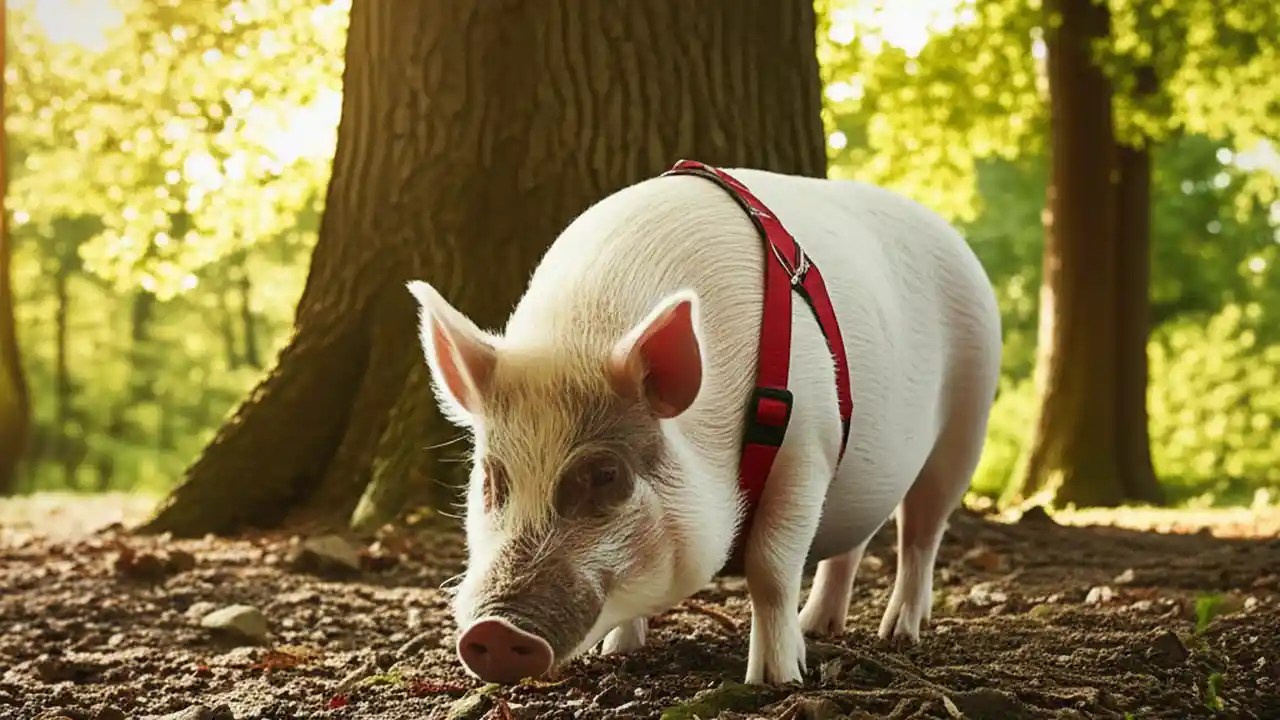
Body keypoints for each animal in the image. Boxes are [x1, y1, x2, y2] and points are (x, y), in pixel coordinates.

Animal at [406, 165, 1001, 686]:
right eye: (491, 478)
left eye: (607, 475)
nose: (495, 631)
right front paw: (618, 652)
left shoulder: (808, 446)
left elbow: (771, 568)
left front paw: (776, 680)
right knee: (851, 546)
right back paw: (819, 627)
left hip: (966, 424)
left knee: (921, 534)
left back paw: (898, 634)